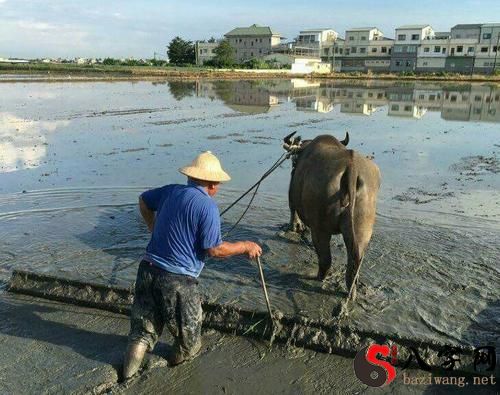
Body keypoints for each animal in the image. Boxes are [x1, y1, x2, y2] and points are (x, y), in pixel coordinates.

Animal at [284, 133, 380, 300]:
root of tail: (351, 168)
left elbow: (293, 210)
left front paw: (295, 227)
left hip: (320, 228)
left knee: (325, 258)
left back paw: (319, 276)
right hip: (362, 227)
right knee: (355, 260)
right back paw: (351, 290)